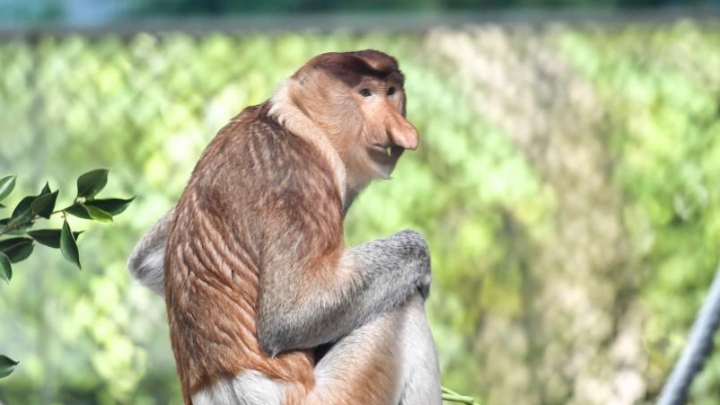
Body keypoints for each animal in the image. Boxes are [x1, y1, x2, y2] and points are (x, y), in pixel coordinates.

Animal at [127, 50, 441, 405]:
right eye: (366, 93)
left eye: (391, 92)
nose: (403, 131)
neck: (295, 118)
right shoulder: (297, 178)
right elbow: (290, 315)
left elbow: (145, 262)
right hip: (340, 393)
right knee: (402, 307)